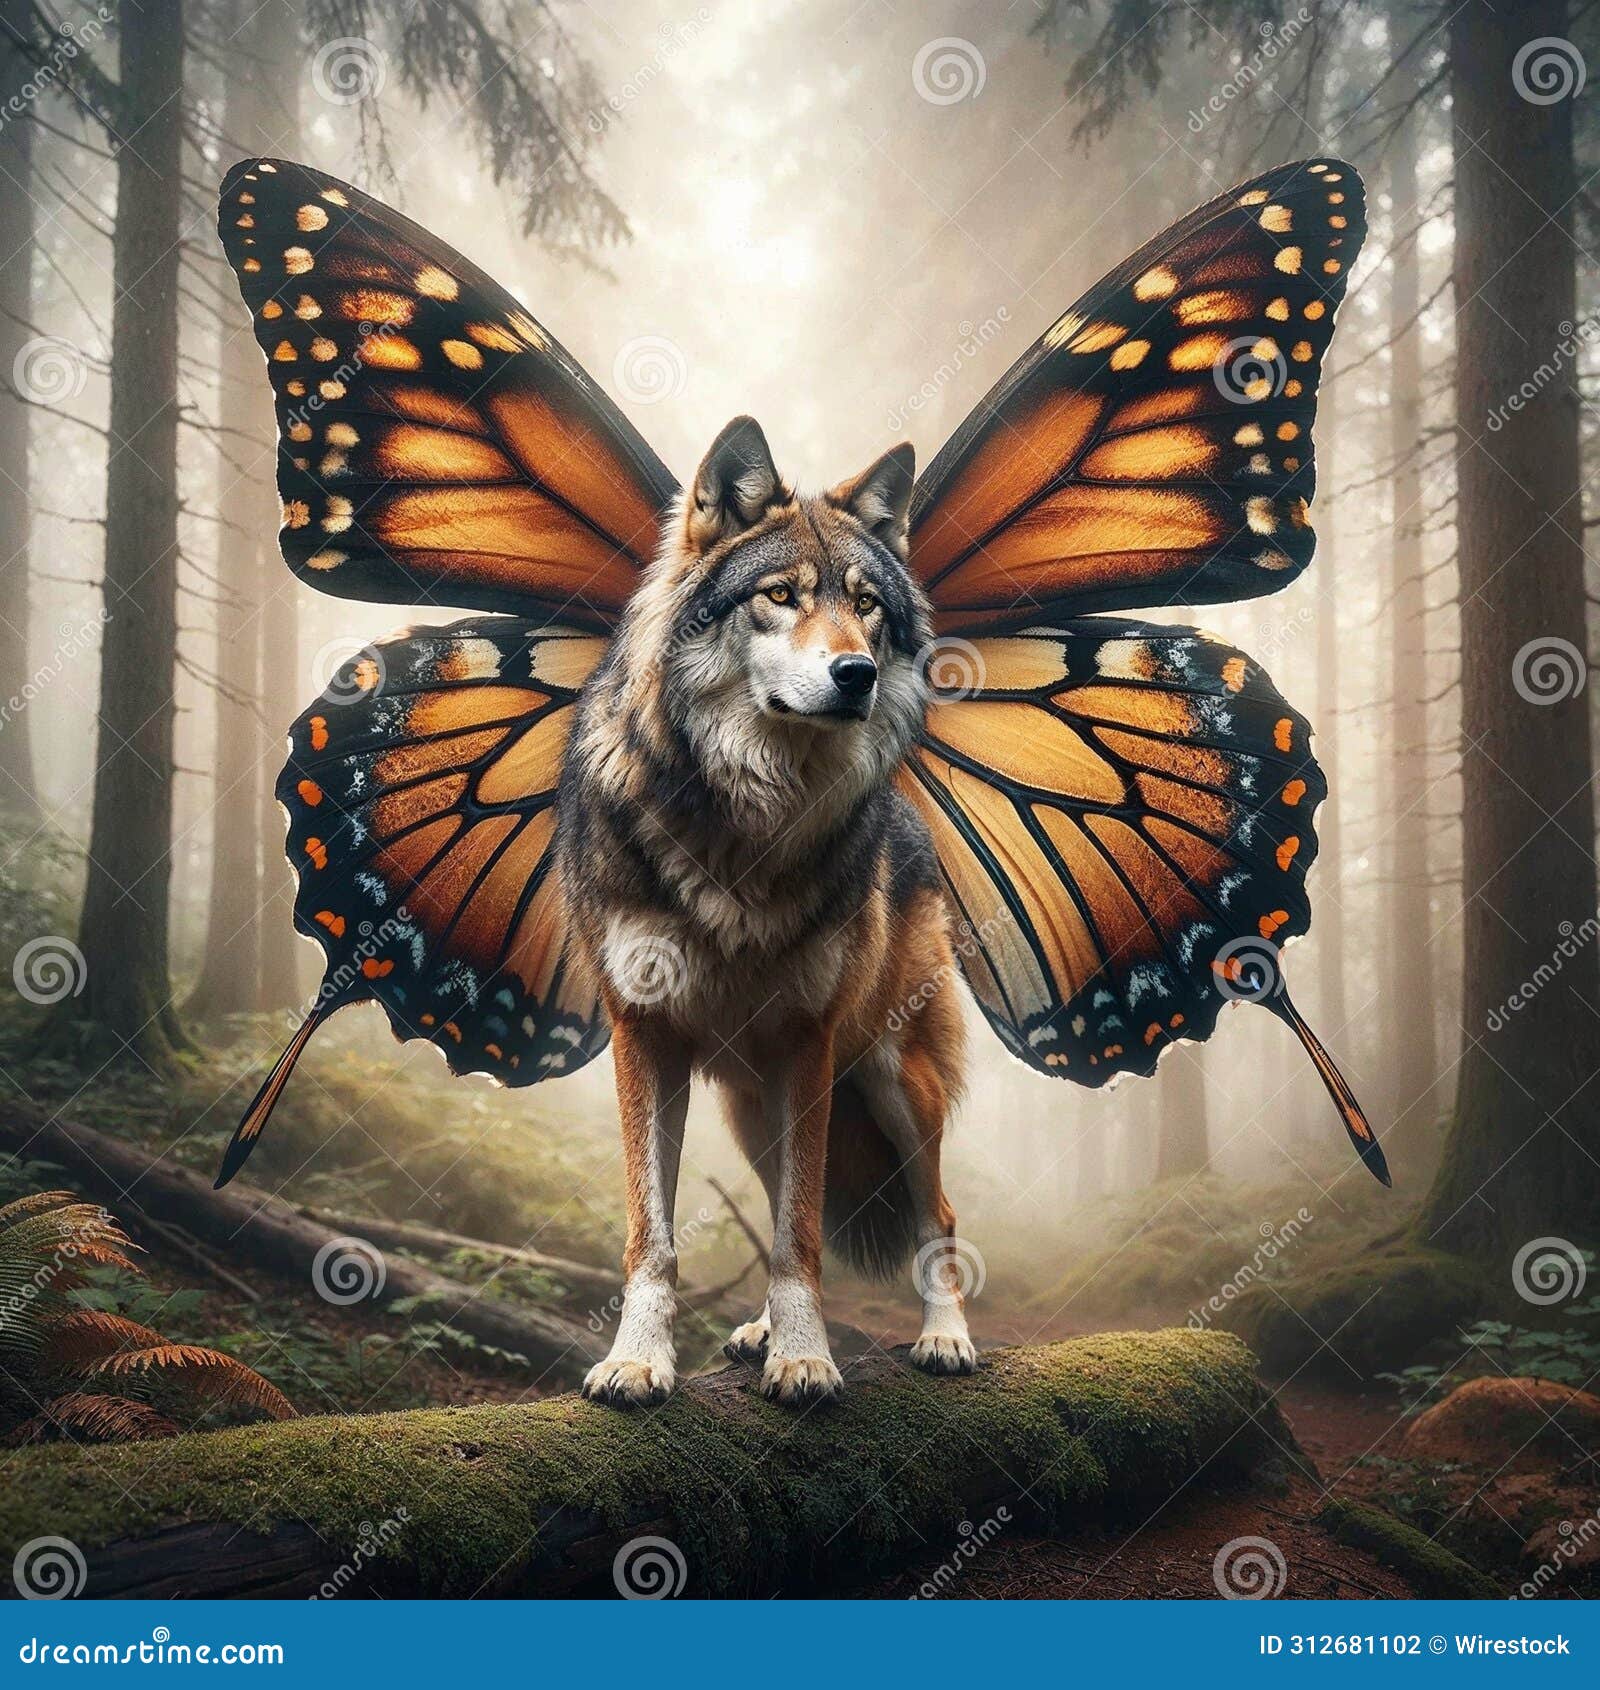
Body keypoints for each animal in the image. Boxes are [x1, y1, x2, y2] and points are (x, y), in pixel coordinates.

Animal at [559, 417, 972, 1407]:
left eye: (867, 606)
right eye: (780, 597)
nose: (855, 674)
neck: (753, 819)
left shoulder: (808, 1041)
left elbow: (798, 1236)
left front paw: (807, 1357)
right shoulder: (644, 1034)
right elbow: (655, 1234)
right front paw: (637, 1359)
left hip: (894, 1081)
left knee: (935, 1211)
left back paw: (943, 1337)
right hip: (758, 1111)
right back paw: (754, 1331)